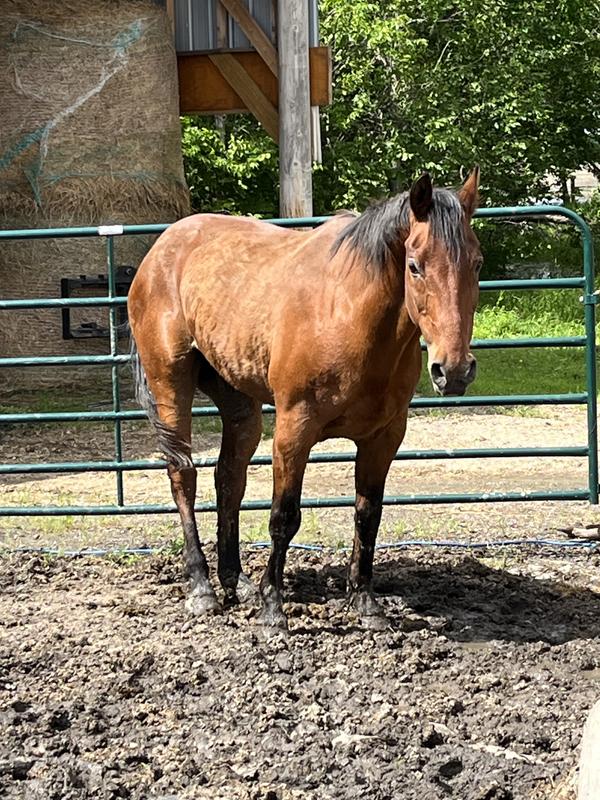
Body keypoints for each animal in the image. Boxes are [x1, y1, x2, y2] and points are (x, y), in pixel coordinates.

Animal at [127, 169, 482, 630]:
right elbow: (284, 517)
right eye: (414, 266)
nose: (453, 370)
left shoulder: (384, 437)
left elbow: (368, 514)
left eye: (476, 263)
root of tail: (161, 249)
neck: (347, 316)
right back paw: (202, 588)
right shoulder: (294, 431)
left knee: (229, 479)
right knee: (183, 477)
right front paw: (272, 610)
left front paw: (365, 603)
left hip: (239, 402)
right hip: (170, 385)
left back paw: (236, 582)